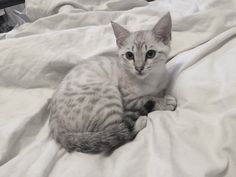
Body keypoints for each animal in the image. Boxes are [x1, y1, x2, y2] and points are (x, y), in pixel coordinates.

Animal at [48, 12, 176, 153]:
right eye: (129, 55)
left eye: (150, 54)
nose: (139, 68)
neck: (152, 80)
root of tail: (55, 125)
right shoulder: (129, 100)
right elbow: (147, 98)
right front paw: (165, 102)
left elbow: (157, 92)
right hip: (108, 94)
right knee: (117, 135)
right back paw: (139, 122)